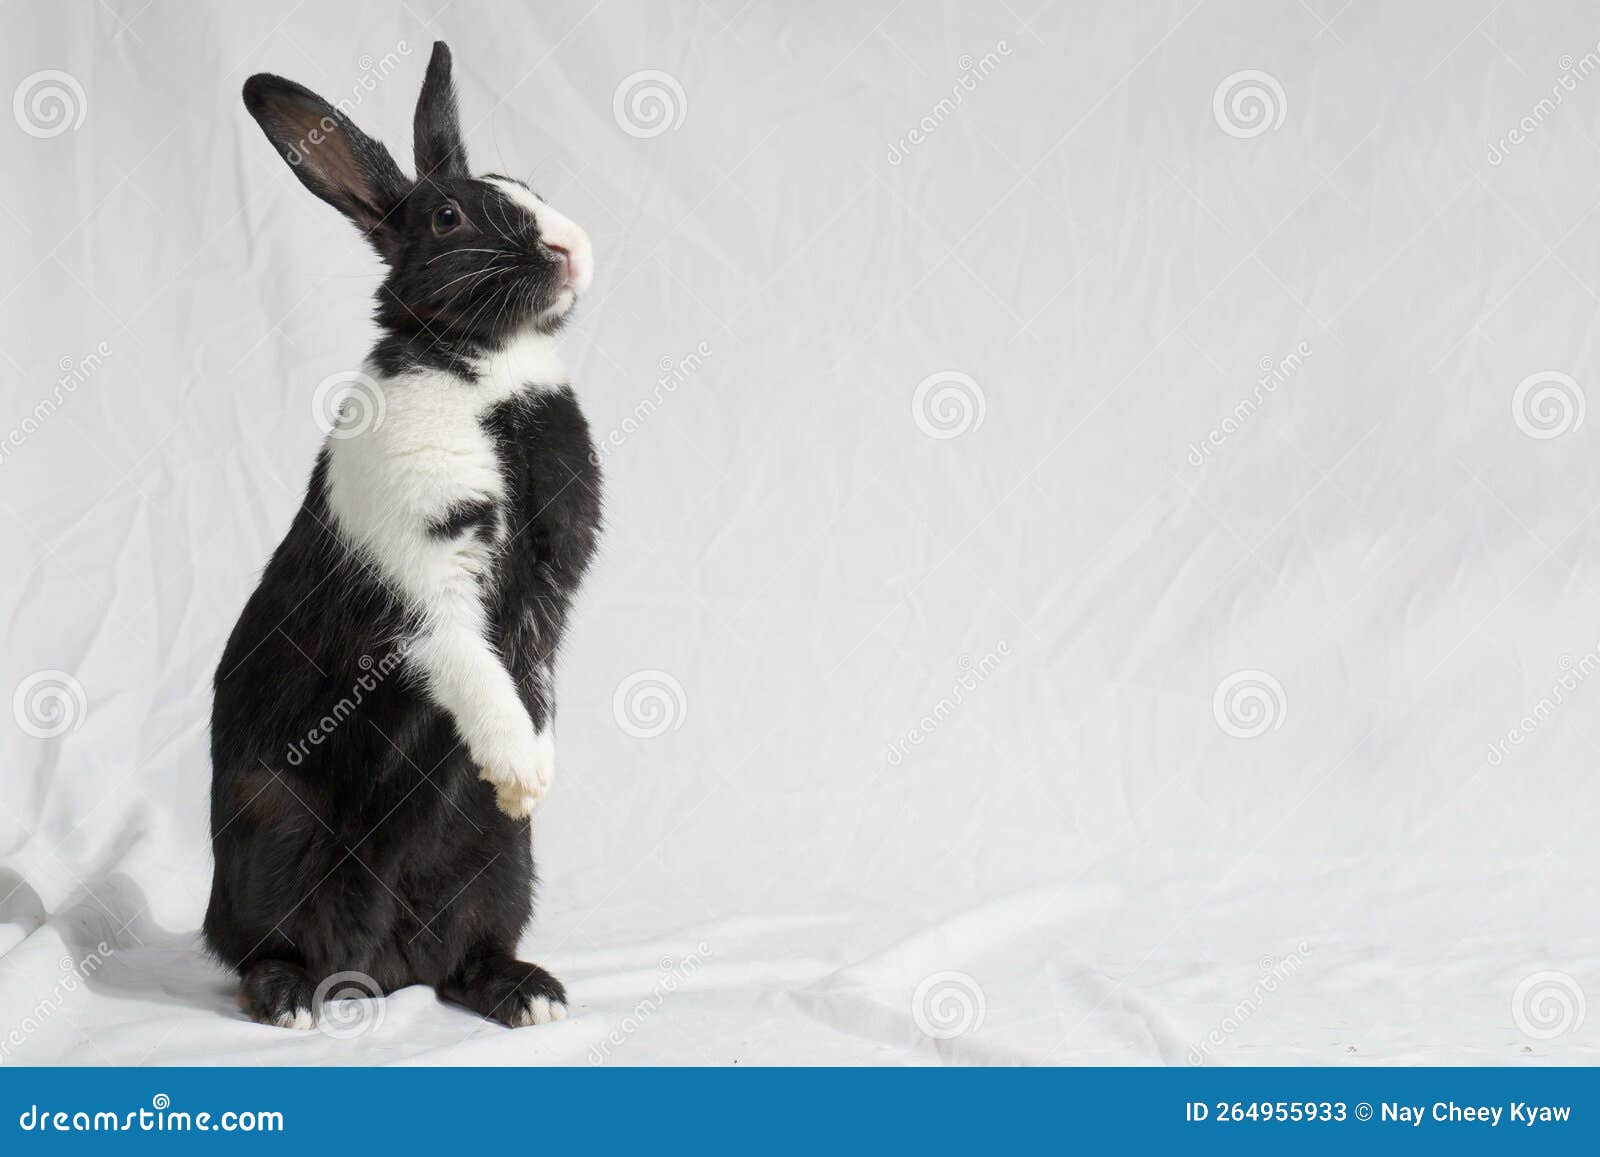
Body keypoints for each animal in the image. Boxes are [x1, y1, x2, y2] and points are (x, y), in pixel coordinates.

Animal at [203, 41, 601, 1030]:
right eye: (449, 216)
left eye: (526, 184)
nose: (571, 249)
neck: (486, 372)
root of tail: (379, 969)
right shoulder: (425, 582)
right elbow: (472, 666)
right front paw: (517, 765)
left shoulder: (546, 594)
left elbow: (532, 674)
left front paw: (534, 767)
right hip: (270, 835)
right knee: (255, 946)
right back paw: (289, 999)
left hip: (502, 869)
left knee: (465, 954)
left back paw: (528, 995)